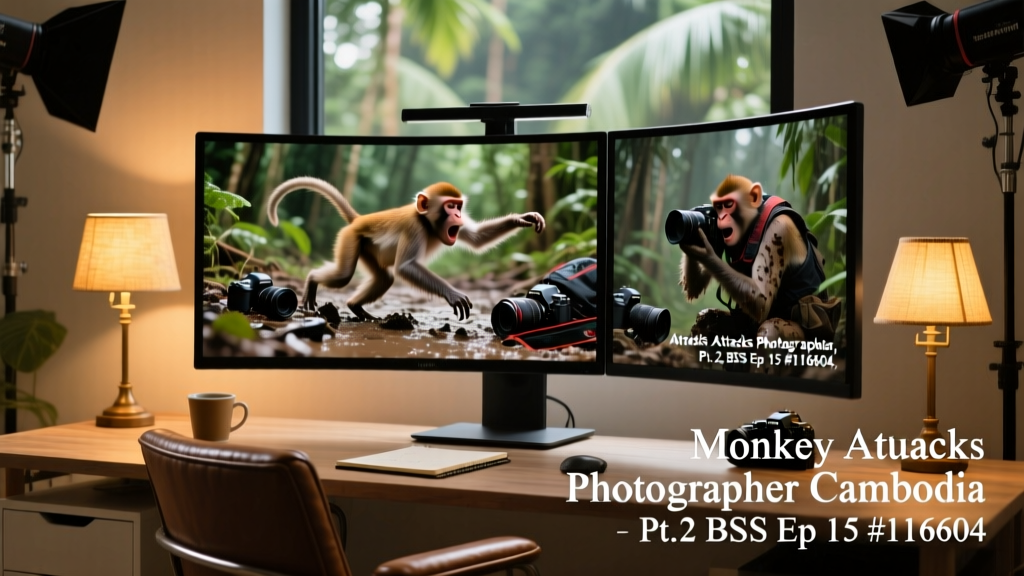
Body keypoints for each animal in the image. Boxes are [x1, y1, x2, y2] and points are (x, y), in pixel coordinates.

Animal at [267, 176, 545, 321]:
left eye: (458, 206)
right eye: (449, 206)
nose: (457, 216)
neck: (427, 223)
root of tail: (358, 219)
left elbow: (476, 239)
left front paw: (524, 218)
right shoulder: (414, 228)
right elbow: (406, 267)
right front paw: (453, 294)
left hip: (366, 247)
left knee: (384, 278)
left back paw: (356, 307)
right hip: (350, 239)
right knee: (345, 275)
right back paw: (313, 280)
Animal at [678, 174, 826, 344]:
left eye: (728, 205)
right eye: (718, 207)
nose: (721, 217)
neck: (753, 221)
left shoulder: (779, 230)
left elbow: (761, 300)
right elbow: (695, 287)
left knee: (770, 329)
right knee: (704, 320)